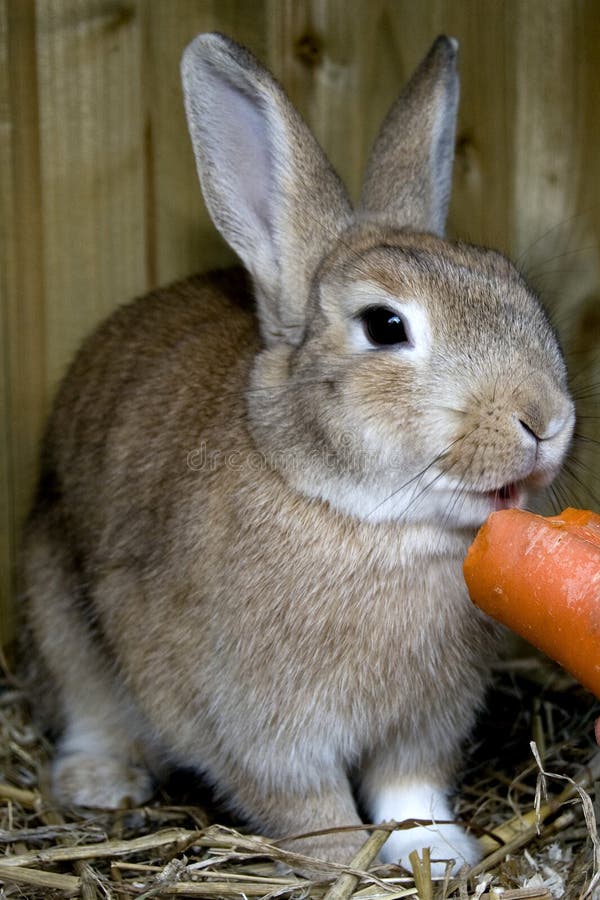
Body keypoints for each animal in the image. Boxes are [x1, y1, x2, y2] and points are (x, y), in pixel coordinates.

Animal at [21, 32, 575, 877]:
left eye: (511, 282)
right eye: (385, 326)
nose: (544, 420)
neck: (375, 527)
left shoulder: (421, 725)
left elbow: (410, 788)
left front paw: (438, 852)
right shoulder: (254, 725)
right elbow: (305, 805)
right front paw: (346, 861)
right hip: (58, 612)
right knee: (86, 708)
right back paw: (102, 782)